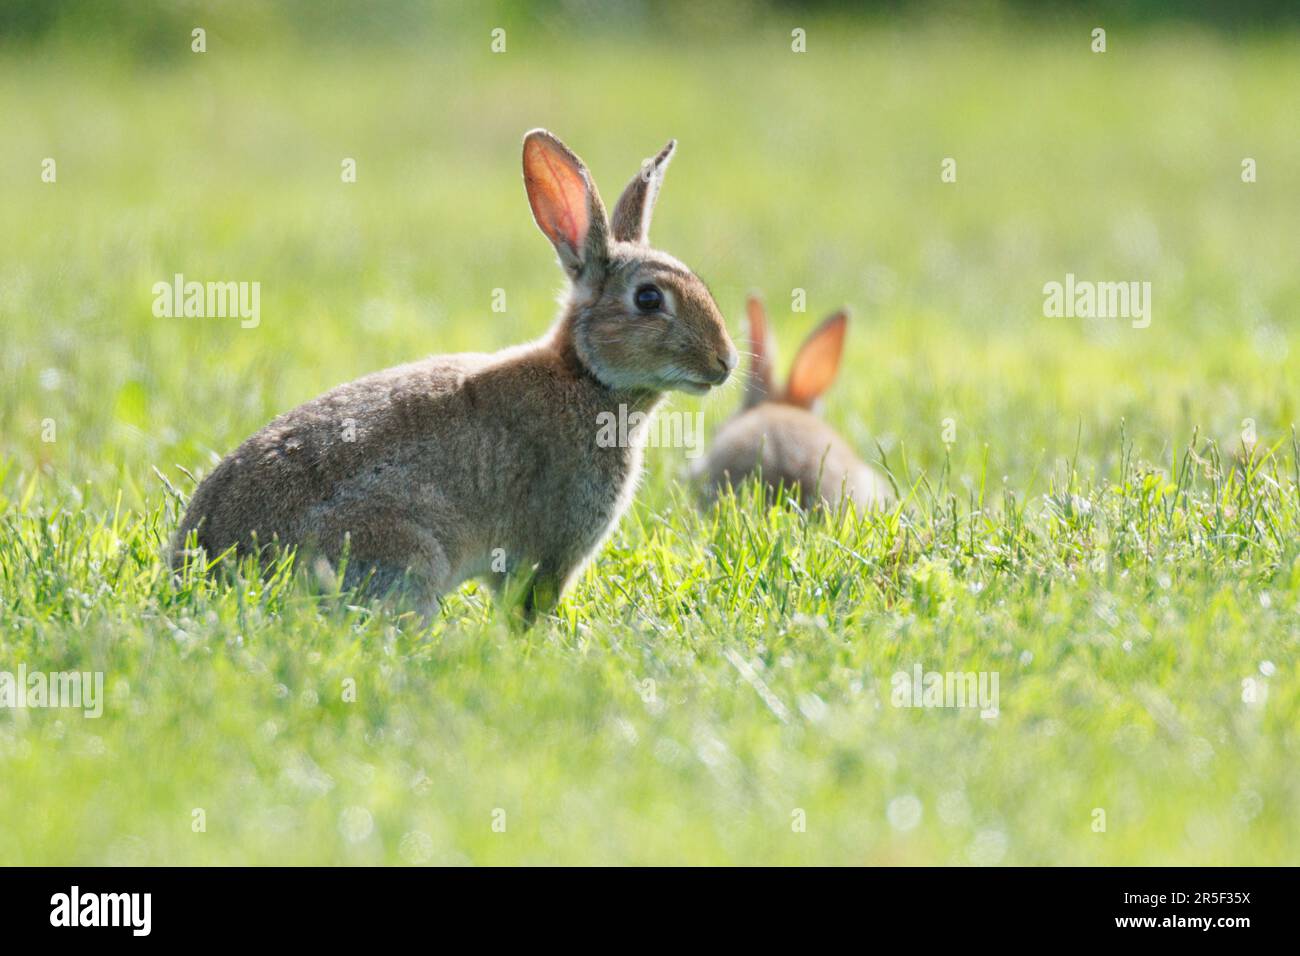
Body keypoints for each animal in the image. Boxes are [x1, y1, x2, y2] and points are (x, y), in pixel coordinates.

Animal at [172, 129, 738, 621]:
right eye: (649, 299)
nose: (726, 362)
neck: (584, 376)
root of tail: (201, 565)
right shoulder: (547, 552)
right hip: (402, 553)